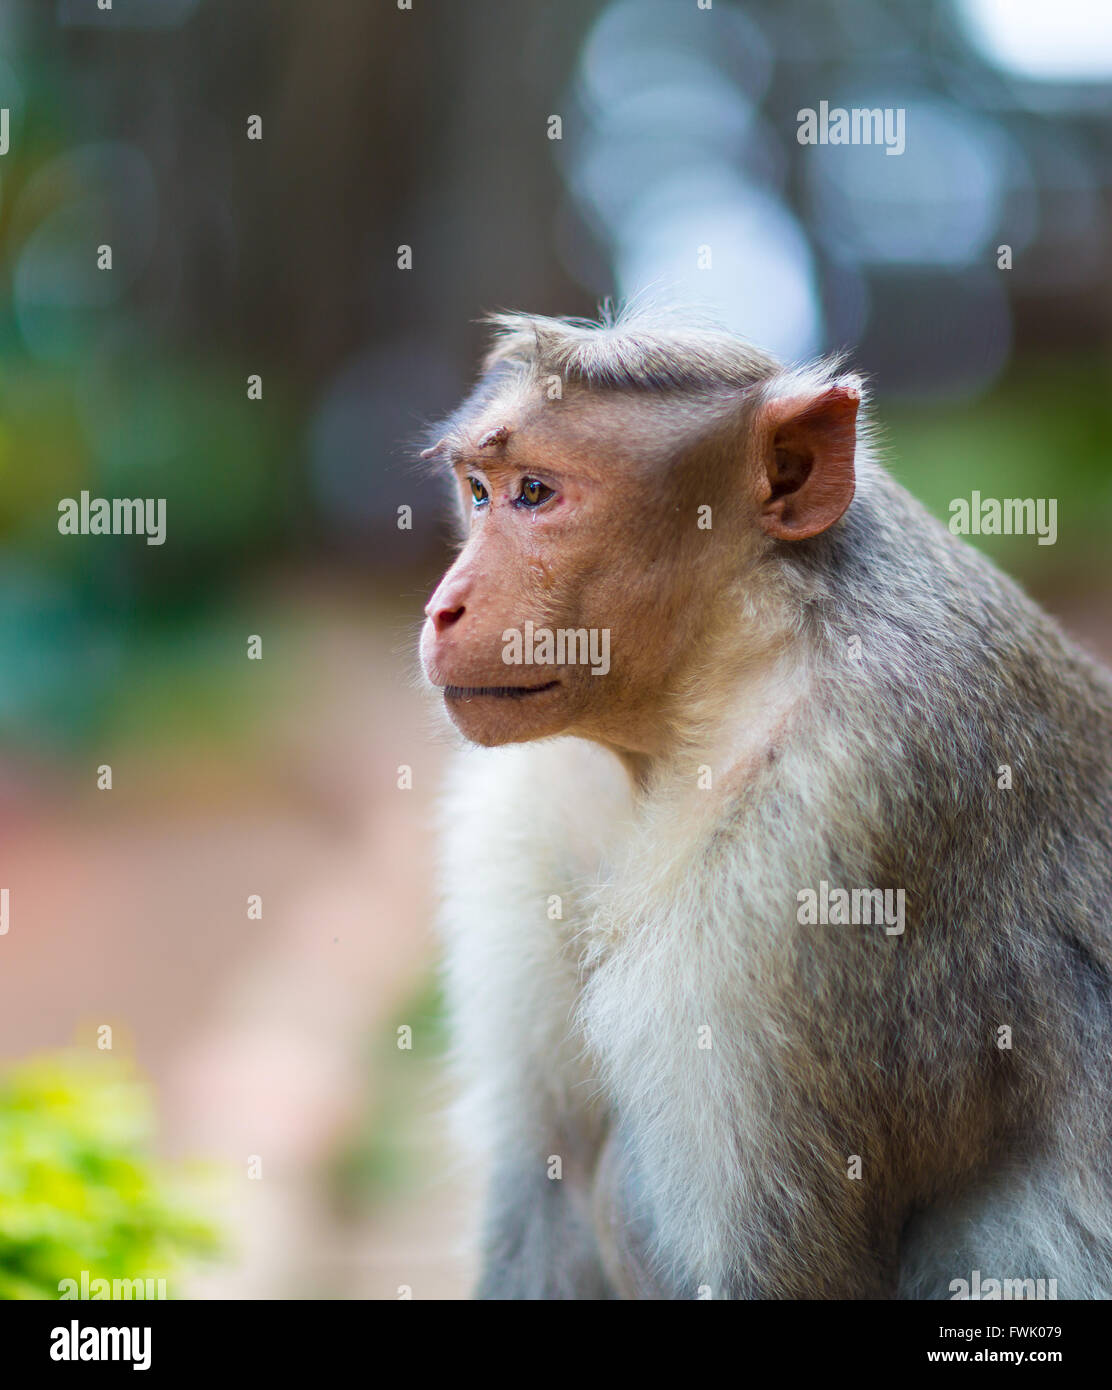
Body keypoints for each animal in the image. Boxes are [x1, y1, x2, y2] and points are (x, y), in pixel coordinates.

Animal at [417, 303, 1112, 1300]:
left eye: (537, 495)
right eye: (479, 492)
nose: (444, 607)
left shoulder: (832, 827)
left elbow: (780, 1266)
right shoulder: (536, 800)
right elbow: (544, 1182)